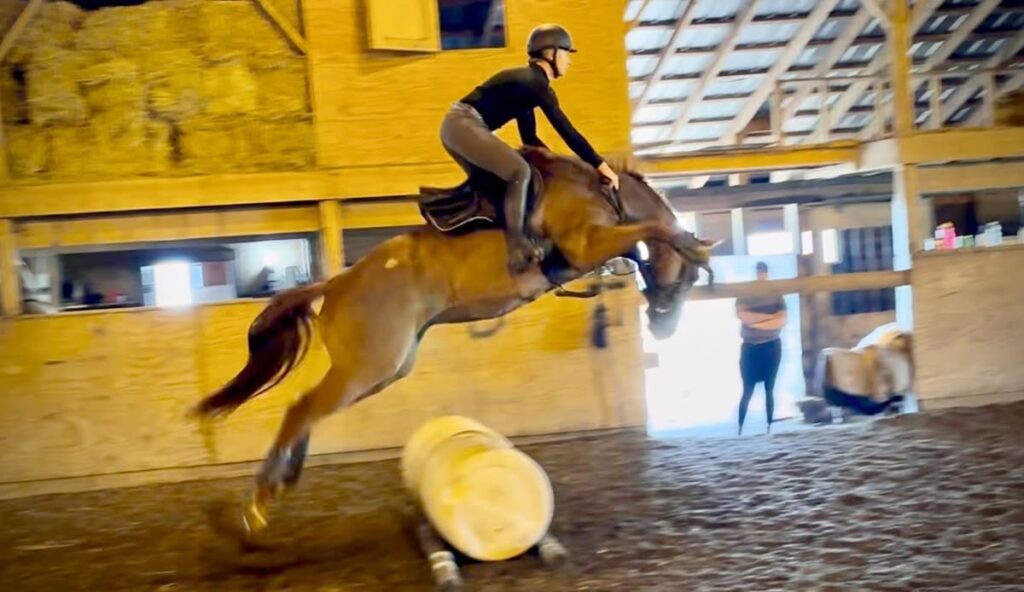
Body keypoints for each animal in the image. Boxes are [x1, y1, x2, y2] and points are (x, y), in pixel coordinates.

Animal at [191, 147, 717, 541]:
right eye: (689, 279)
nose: (665, 327)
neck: (598, 194)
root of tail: (336, 284)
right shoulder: (587, 244)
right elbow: (653, 230)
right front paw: (692, 245)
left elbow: (644, 236)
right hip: (370, 366)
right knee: (302, 407)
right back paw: (258, 505)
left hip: (385, 368)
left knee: (307, 409)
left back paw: (281, 484)